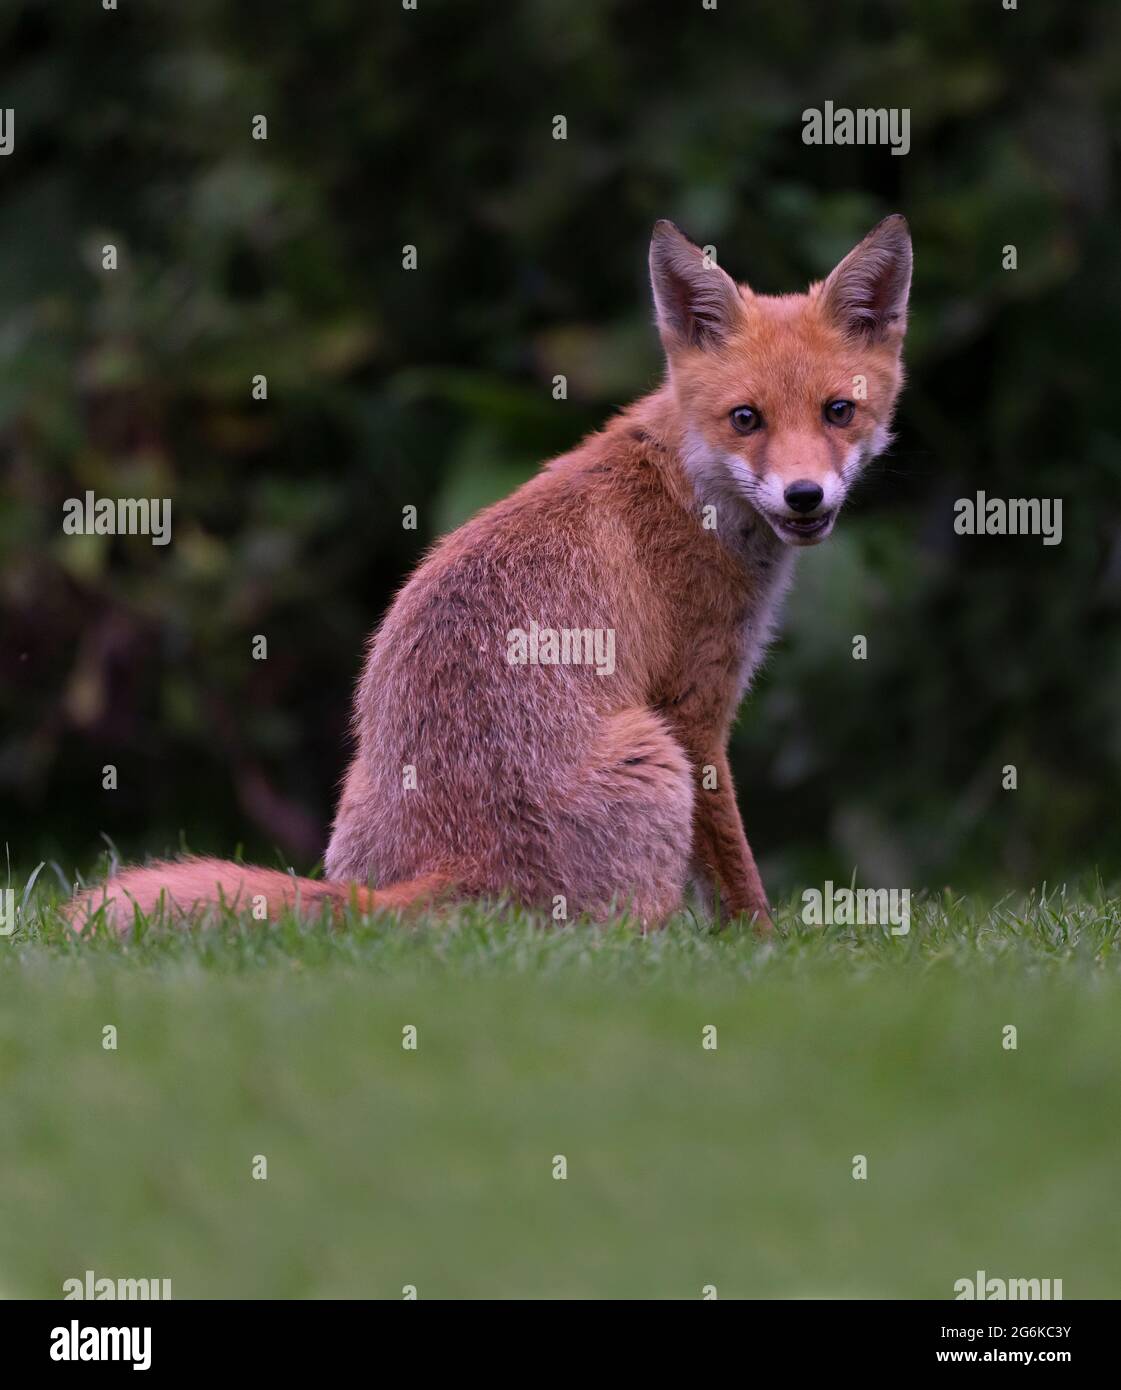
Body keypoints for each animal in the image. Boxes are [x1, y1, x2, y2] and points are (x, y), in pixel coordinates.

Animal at [69, 214, 912, 932]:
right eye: (746, 420)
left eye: (837, 412)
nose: (804, 495)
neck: (688, 487)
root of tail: (456, 862)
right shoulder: (693, 710)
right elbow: (736, 872)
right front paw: (761, 948)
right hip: (653, 757)